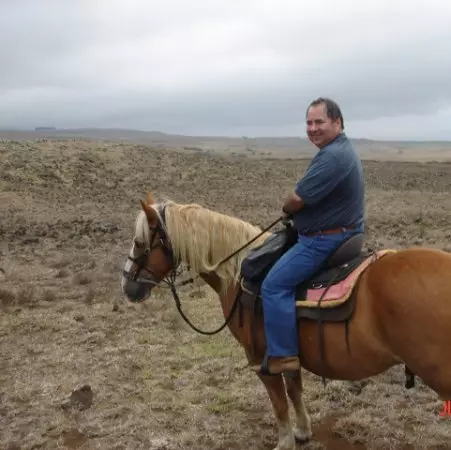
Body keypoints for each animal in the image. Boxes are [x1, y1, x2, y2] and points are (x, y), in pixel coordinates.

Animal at [122, 194, 451, 450]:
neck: (239, 274)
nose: (127, 287)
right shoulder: (287, 351)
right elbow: (294, 390)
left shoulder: (259, 357)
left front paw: (284, 441)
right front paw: (303, 432)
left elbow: (278, 400)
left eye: (139, 242)